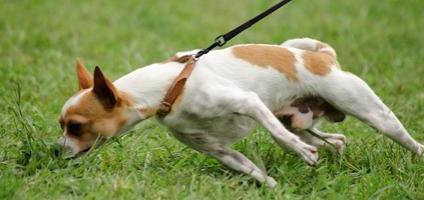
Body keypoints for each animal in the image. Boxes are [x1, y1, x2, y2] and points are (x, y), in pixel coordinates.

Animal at [58, 38, 422, 188]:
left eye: (75, 127)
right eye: (62, 126)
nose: (54, 151)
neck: (171, 86)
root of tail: (324, 57)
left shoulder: (249, 103)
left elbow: (278, 137)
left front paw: (301, 154)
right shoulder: (218, 150)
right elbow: (254, 172)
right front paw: (274, 188)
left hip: (373, 114)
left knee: (408, 141)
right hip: (299, 120)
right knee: (335, 139)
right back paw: (333, 152)